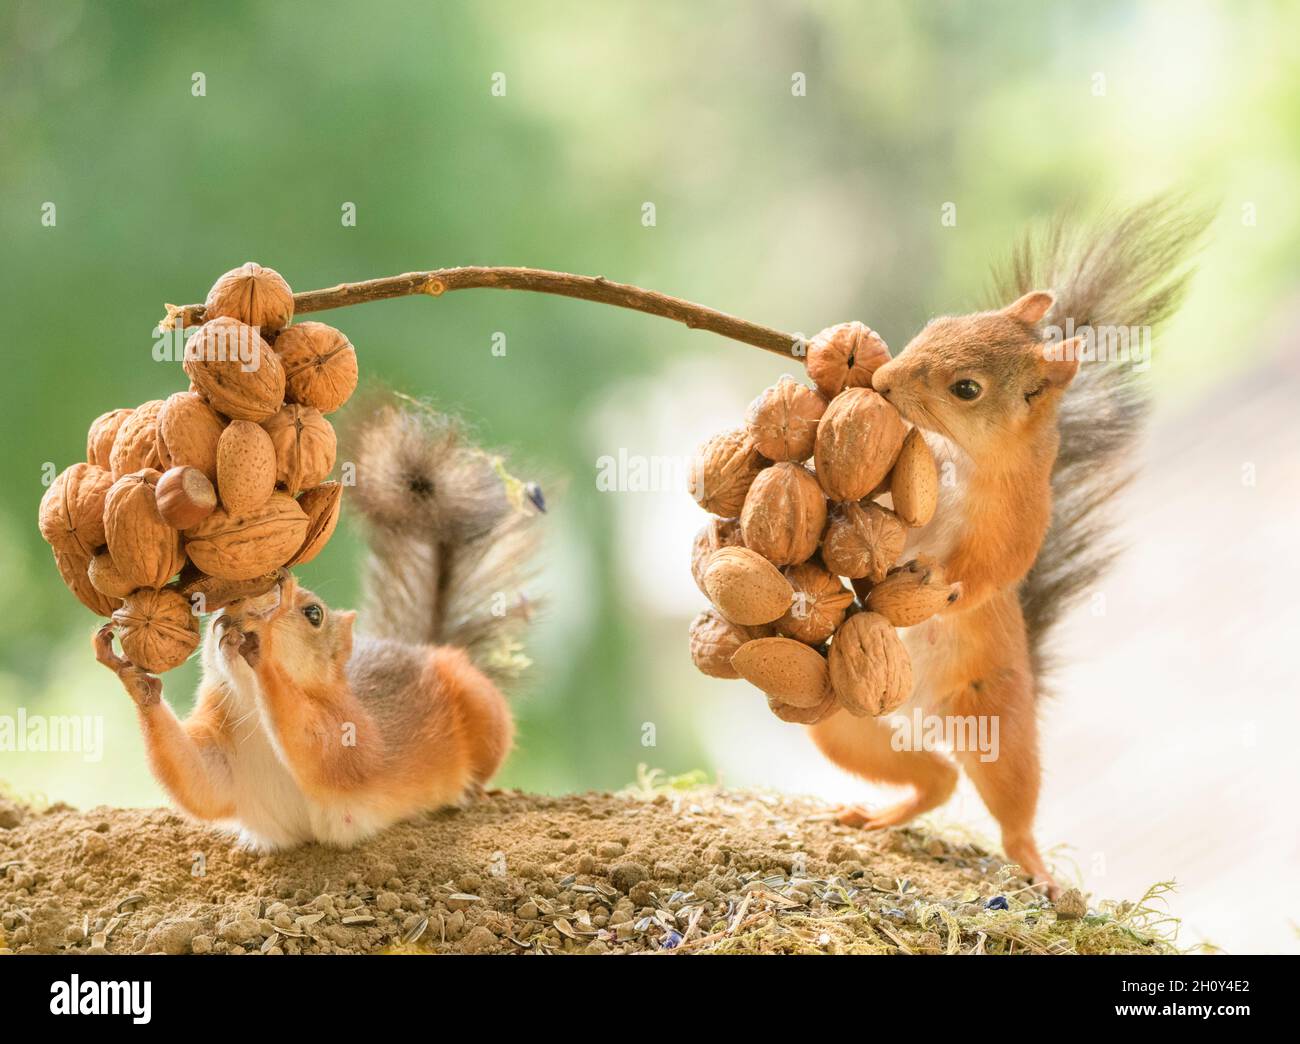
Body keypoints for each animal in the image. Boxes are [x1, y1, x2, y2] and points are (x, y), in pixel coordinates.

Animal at [94, 397, 541, 850]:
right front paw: (131, 677)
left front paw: (262, 647)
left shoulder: (352, 727)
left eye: (314, 614)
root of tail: (424, 649)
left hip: (483, 711)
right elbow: (197, 782)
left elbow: (320, 749)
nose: (233, 618)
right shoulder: (221, 758)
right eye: (220, 606)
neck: (251, 705)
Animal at [807, 199, 1211, 896]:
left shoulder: (1021, 522)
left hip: (996, 728)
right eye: (938, 324)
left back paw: (1036, 867)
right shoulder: (915, 481)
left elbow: (992, 571)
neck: (965, 459)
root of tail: (919, 718)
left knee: (1009, 807)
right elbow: (884, 514)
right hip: (847, 724)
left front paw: (940, 583)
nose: (880, 380)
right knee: (936, 779)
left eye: (966, 389)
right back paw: (880, 814)